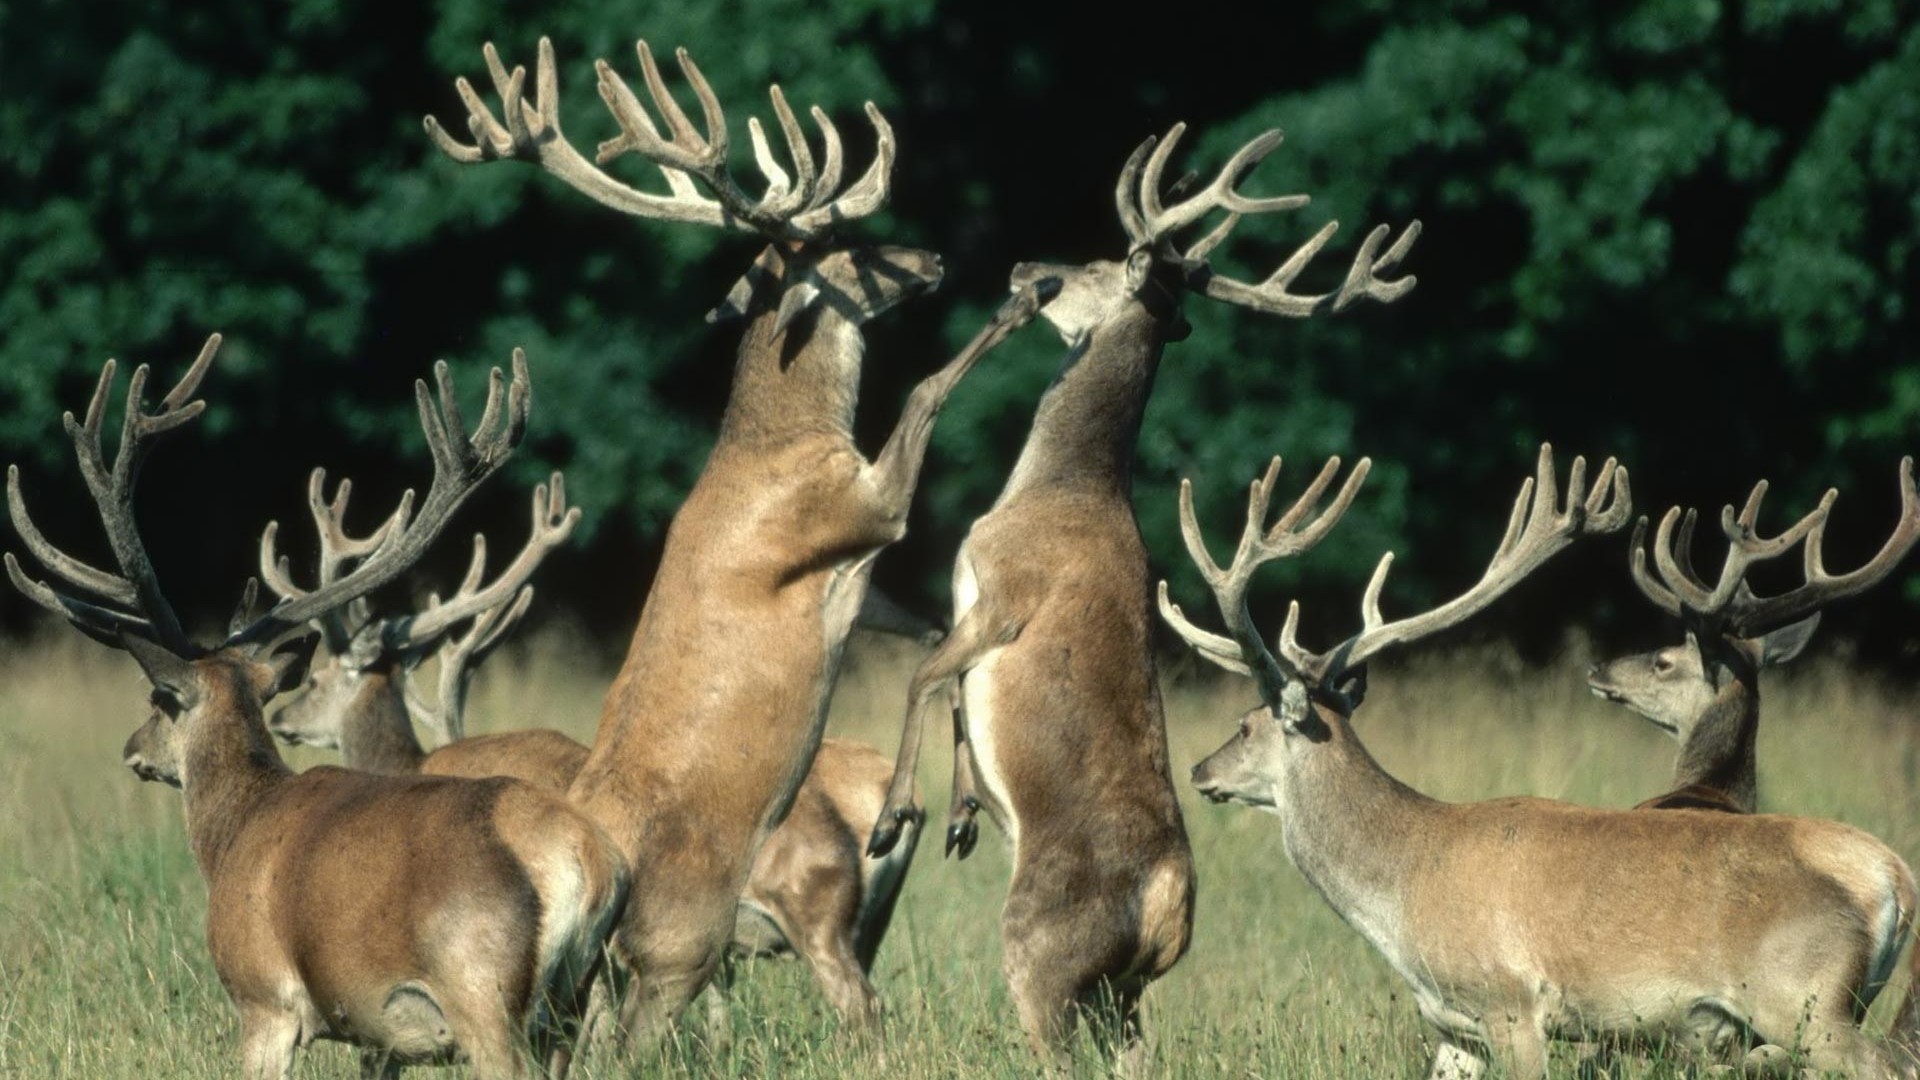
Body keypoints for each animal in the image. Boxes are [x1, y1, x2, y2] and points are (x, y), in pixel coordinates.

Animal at [3, 335, 629, 1080]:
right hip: (575, 1007)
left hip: (485, 991)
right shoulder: (380, 1036)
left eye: (159, 699)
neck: (232, 833)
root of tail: (591, 863)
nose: (133, 748)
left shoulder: (262, 998)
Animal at [262, 473, 926, 1031]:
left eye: (315, 678)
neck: (411, 763)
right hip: (865, 922)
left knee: (863, 1007)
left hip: (815, 915)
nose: (278, 717)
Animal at [428, 36, 1050, 1041]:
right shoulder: (855, 511)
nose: (933, 255)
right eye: (844, 247)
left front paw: (951, 809)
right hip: (685, 936)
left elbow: (930, 636)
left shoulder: (855, 579)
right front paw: (1025, 299)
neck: (782, 446)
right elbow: (926, 391)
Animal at [858, 123, 1418, 1066]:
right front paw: (962, 811)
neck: (1056, 488)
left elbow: (924, 676)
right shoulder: (973, 604)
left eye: (1098, 259)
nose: (1025, 264)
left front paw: (897, 815)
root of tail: (1165, 907)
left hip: (1039, 959)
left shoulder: (1003, 594)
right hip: (1119, 998)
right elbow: (950, 695)